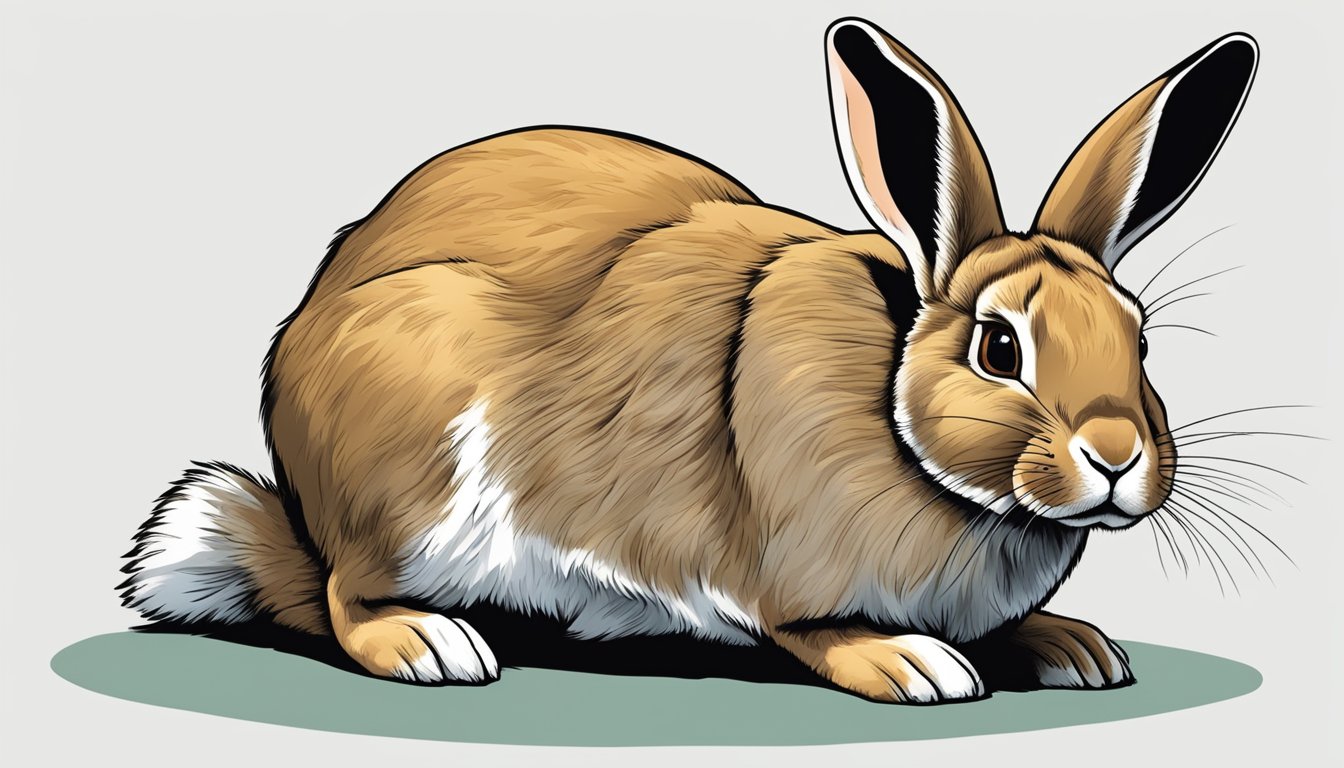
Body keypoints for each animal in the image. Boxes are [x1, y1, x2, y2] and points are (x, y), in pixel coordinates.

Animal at [118, 17, 1258, 703]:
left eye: (1139, 335)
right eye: (999, 344)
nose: (1116, 454)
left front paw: (1070, 646)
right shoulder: (777, 576)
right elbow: (814, 633)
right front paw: (912, 664)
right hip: (404, 486)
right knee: (343, 599)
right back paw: (429, 646)